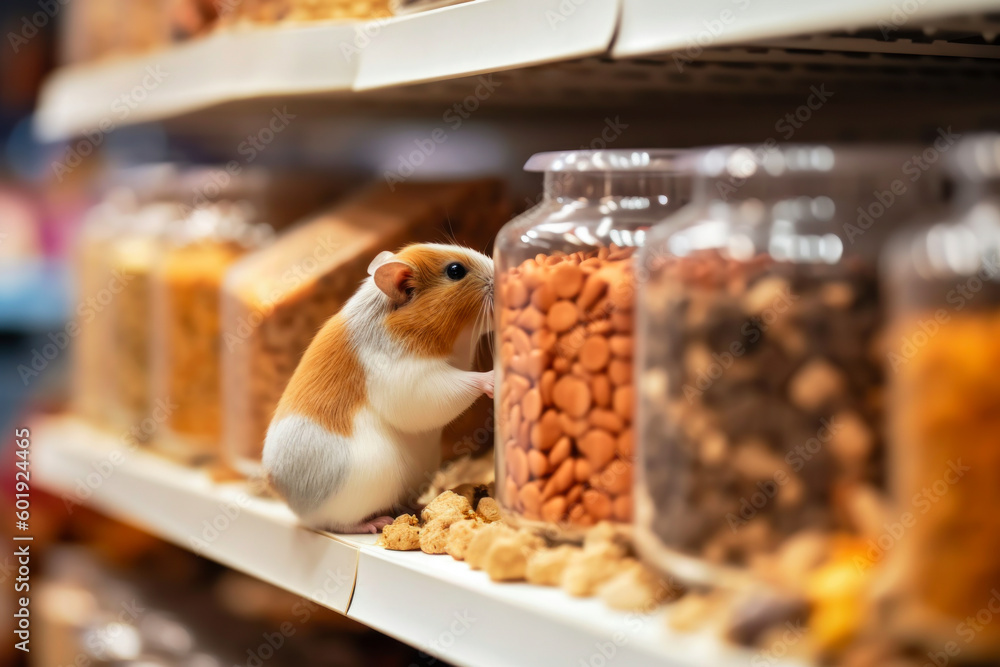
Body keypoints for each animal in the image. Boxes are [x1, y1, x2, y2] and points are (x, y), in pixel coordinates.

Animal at [262, 243, 495, 533]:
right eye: (455, 271)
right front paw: (493, 378)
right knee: (338, 523)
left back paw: (417, 507)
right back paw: (376, 523)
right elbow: (463, 383)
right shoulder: (415, 382)